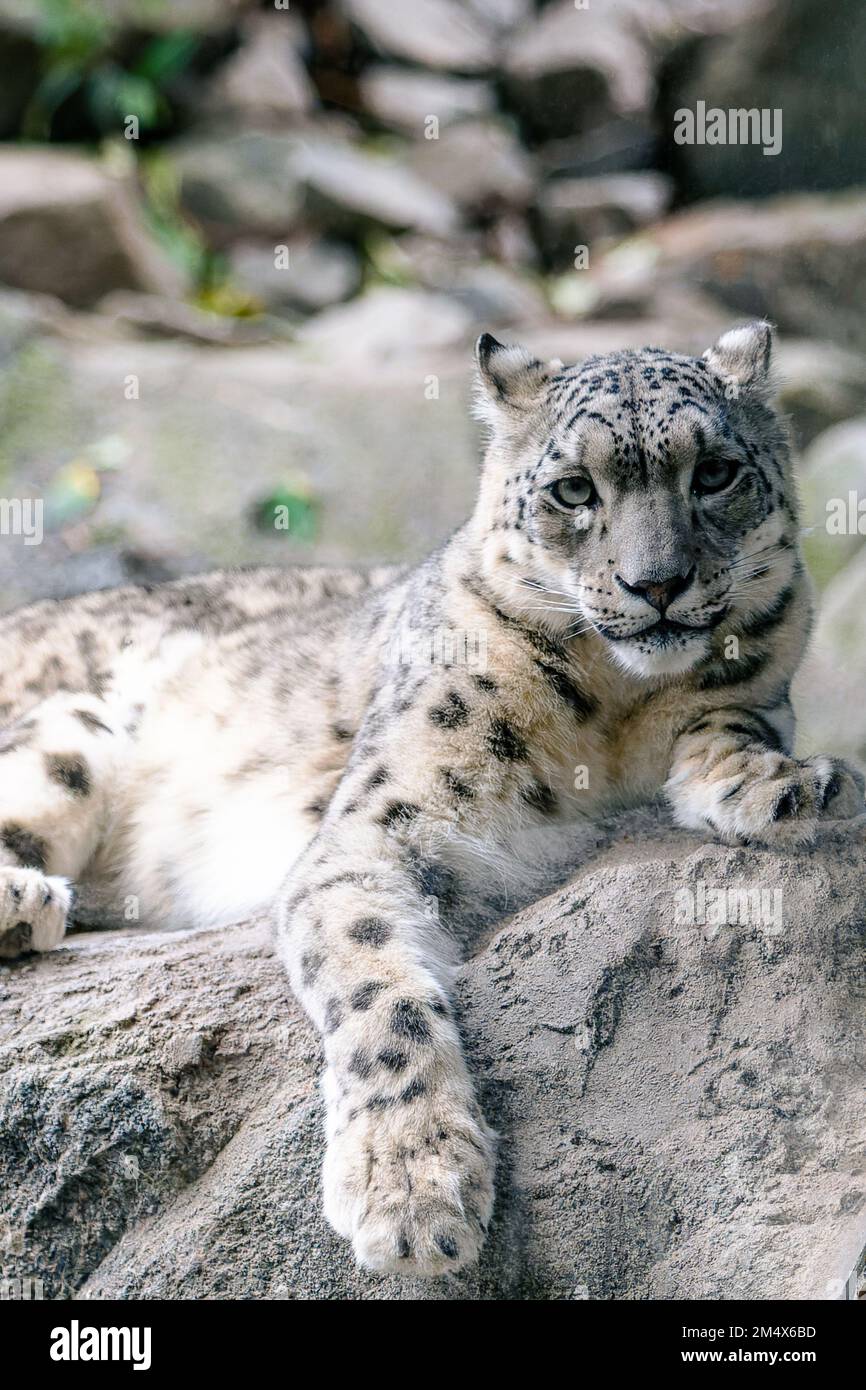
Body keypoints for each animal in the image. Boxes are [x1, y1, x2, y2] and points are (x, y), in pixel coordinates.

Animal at [0, 320, 861, 1278]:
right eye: (574, 488)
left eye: (714, 472)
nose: (658, 583)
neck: (613, 713)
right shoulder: (380, 828)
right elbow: (382, 995)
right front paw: (412, 1191)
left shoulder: (753, 687)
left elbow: (733, 728)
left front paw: (790, 786)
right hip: (74, 728)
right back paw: (22, 903)